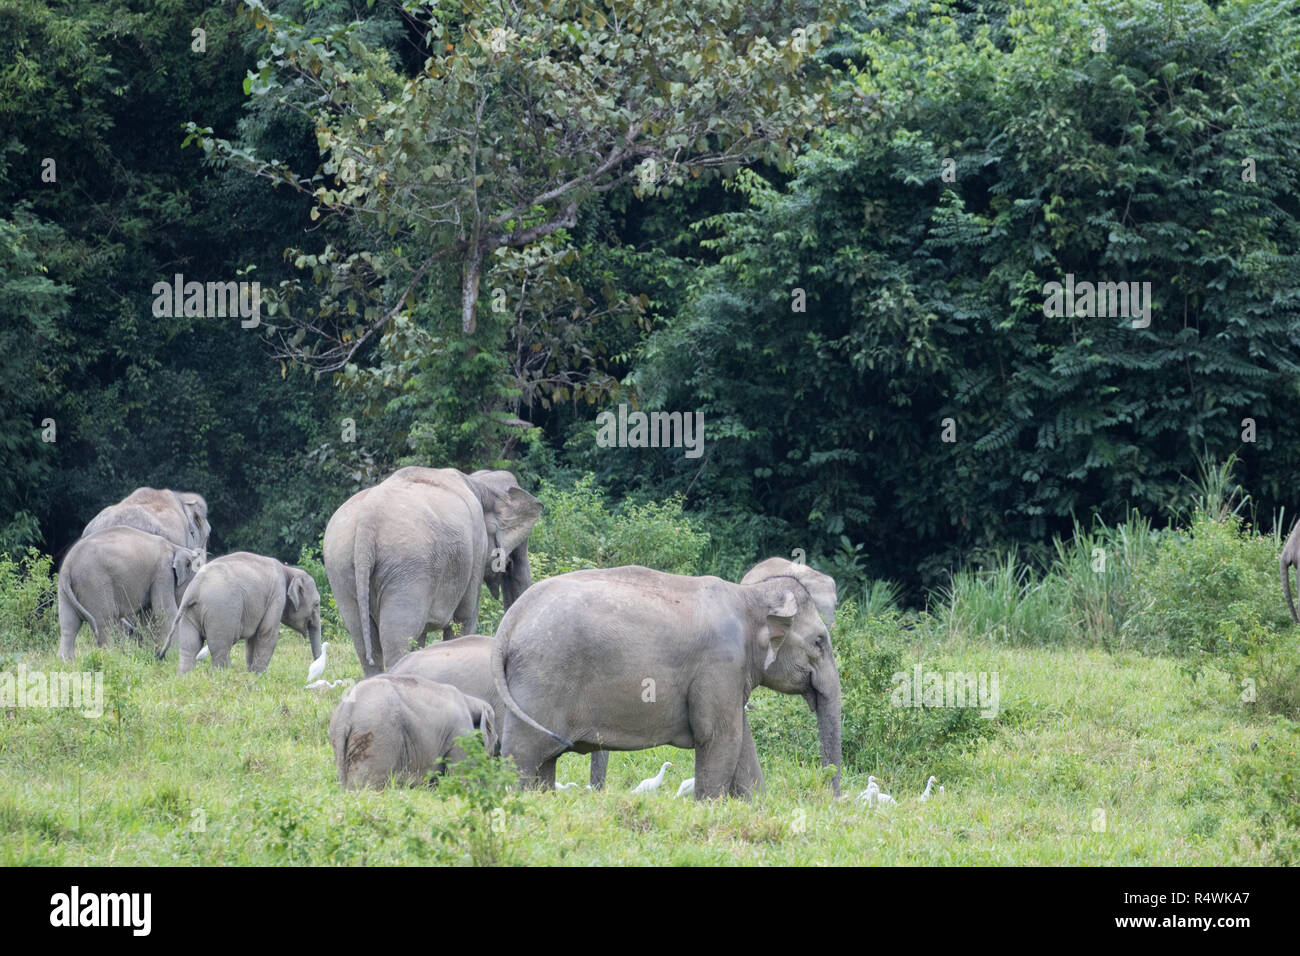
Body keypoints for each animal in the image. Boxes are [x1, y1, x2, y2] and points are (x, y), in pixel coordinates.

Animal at [57, 527, 204, 660]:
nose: (159, 655)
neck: (176, 547)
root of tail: (67, 567)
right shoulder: (163, 572)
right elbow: (164, 611)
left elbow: (148, 616)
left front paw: (151, 653)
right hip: (94, 583)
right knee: (104, 623)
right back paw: (110, 657)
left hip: (65, 591)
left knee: (69, 626)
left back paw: (66, 662)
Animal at [158, 552, 322, 675]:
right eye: (316, 604)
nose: (316, 668)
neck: (289, 570)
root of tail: (194, 589)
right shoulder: (276, 596)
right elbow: (267, 634)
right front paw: (260, 676)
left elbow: (252, 639)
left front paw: (251, 673)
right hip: (221, 611)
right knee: (220, 648)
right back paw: (221, 678)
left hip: (190, 613)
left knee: (189, 647)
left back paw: (185, 678)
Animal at [323, 466, 542, 676]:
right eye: (517, 547)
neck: (480, 483)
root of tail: (367, 521)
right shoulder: (475, 550)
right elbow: (464, 616)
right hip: (408, 565)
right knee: (398, 634)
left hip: (340, 566)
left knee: (362, 638)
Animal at [328, 674, 498, 789]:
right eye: (495, 739)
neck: (470, 700)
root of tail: (347, 711)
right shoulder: (461, 735)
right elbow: (461, 778)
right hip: (376, 738)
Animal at [491, 563, 841, 800]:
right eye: (819, 642)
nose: (833, 799)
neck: (749, 598)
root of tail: (511, 620)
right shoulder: (720, 664)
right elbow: (719, 737)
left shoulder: (729, 674)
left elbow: (740, 742)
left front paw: (754, 806)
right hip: (542, 677)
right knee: (523, 754)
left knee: (544, 760)